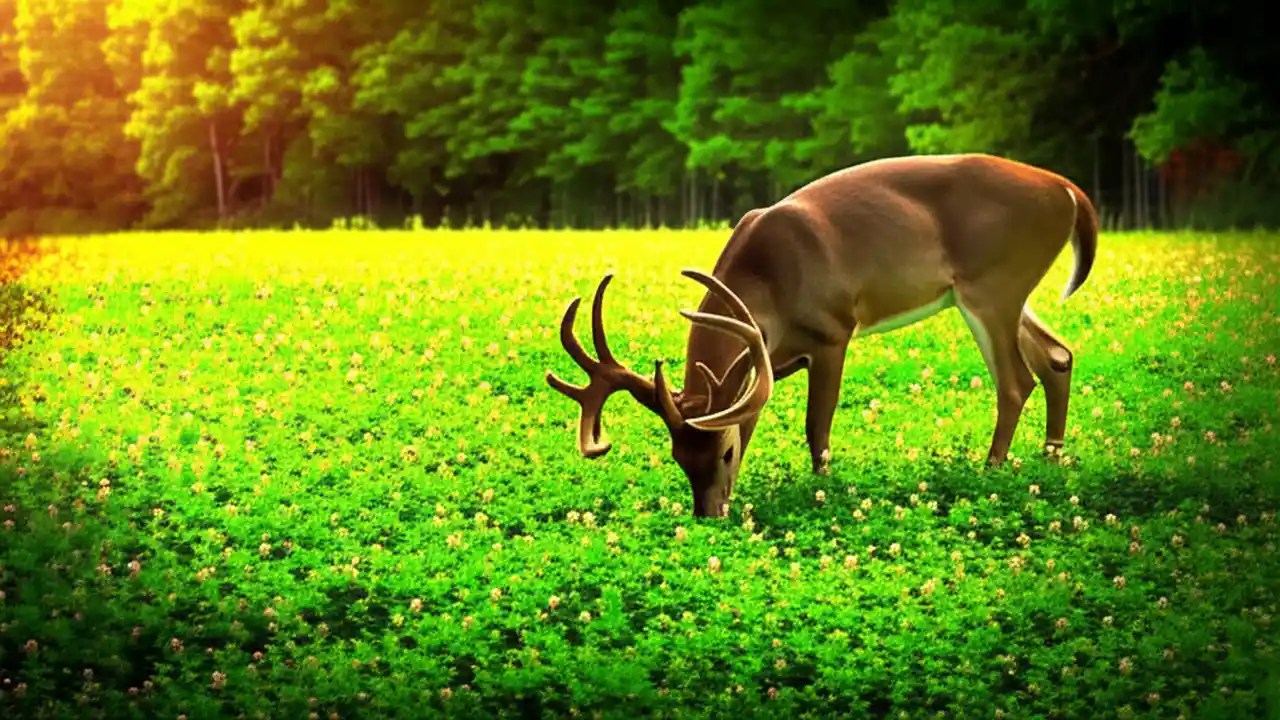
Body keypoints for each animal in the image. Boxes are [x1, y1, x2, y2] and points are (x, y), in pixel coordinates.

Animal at [546, 153, 1098, 518]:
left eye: (723, 454)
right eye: (679, 457)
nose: (709, 514)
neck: (768, 281)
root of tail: (1070, 190)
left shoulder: (833, 331)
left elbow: (818, 426)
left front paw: (823, 488)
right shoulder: (770, 358)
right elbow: (755, 413)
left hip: (992, 284)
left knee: (1016, 381)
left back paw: (991, 469)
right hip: (1004, 291)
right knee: (1058, 356)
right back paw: (1050, 456)